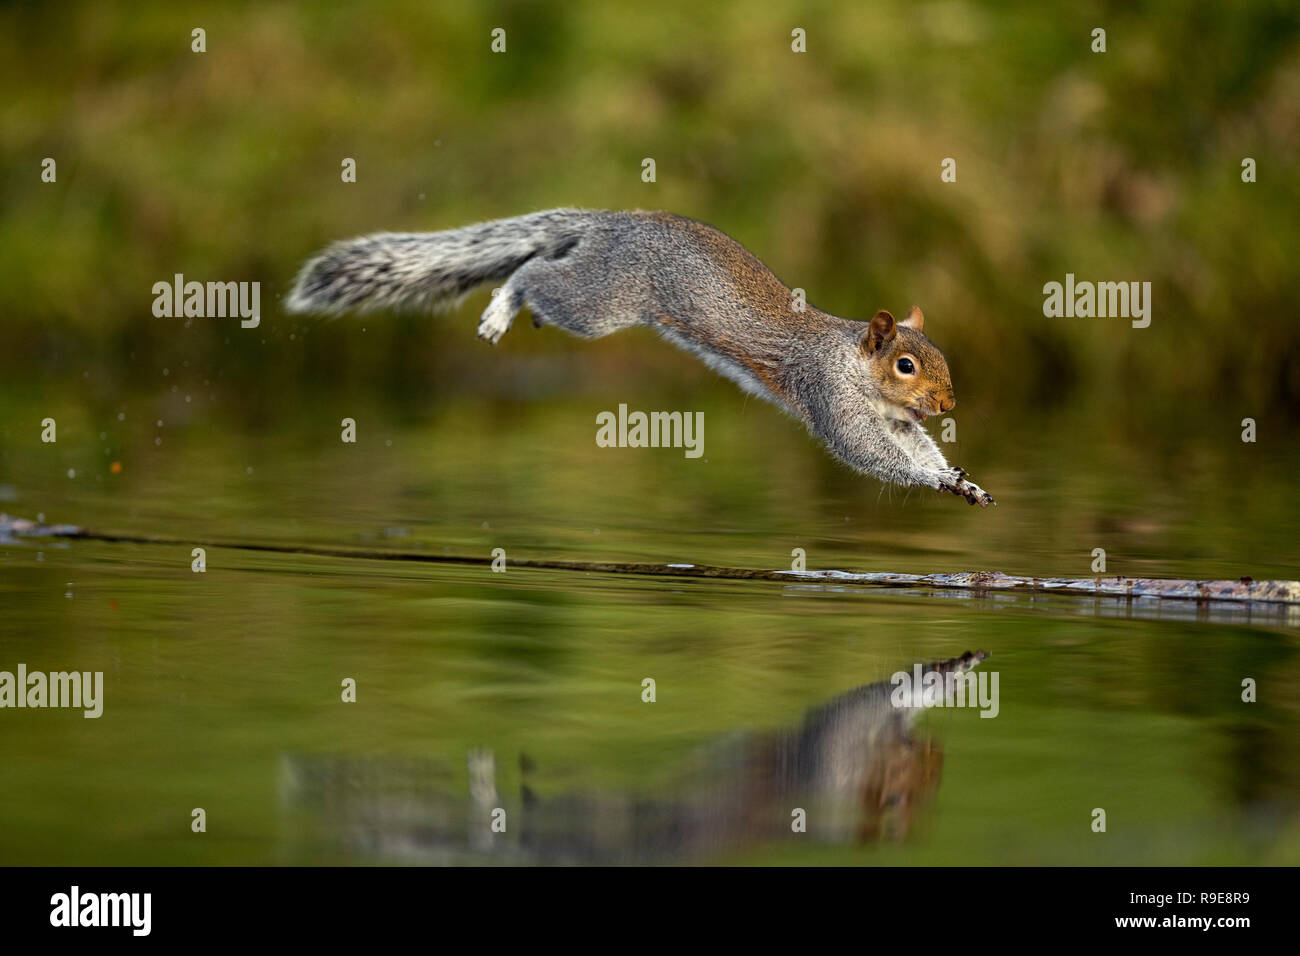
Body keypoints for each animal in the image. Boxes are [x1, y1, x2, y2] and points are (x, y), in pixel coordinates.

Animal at [287, 209, 994, 506]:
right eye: (906, 366)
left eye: (940, 358)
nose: (949, 403)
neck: (853, 363)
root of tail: (610, 222)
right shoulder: (831, 397)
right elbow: (867, 452)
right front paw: (935, 480)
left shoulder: (897, 421)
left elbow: (915, 446)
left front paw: (960, 479)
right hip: (600, 301)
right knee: (534, 273)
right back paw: (502, 307)